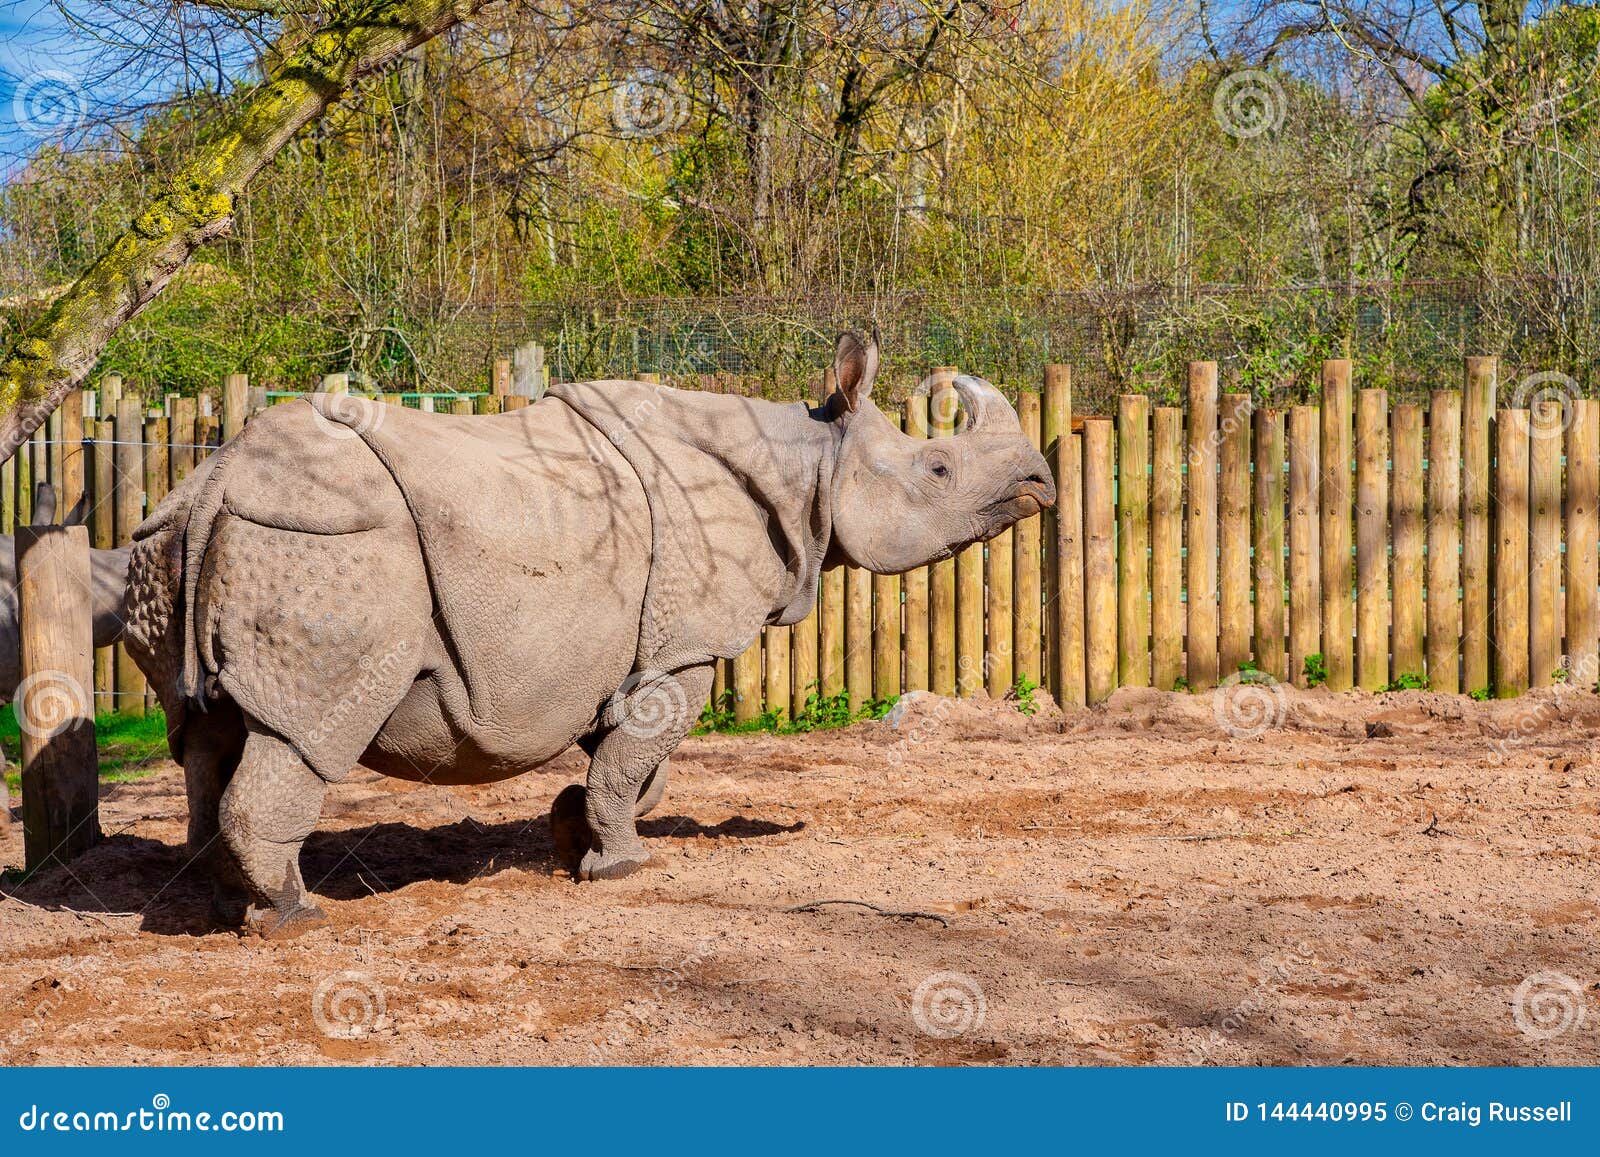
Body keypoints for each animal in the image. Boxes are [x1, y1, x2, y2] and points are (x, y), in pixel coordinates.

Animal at [123, 332, 1055, 938]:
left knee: (203, 734)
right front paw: (622, 867)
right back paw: (296, 918)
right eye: (939, 468)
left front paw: (575, 834)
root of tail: (218, 478)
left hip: (171, 539)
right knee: (303, 733)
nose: (1042, 480)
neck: (810, 460)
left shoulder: (621, 647)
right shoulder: (686, 645)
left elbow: (631, 759)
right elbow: (637, 754)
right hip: (332, 545)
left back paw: (228, 910)